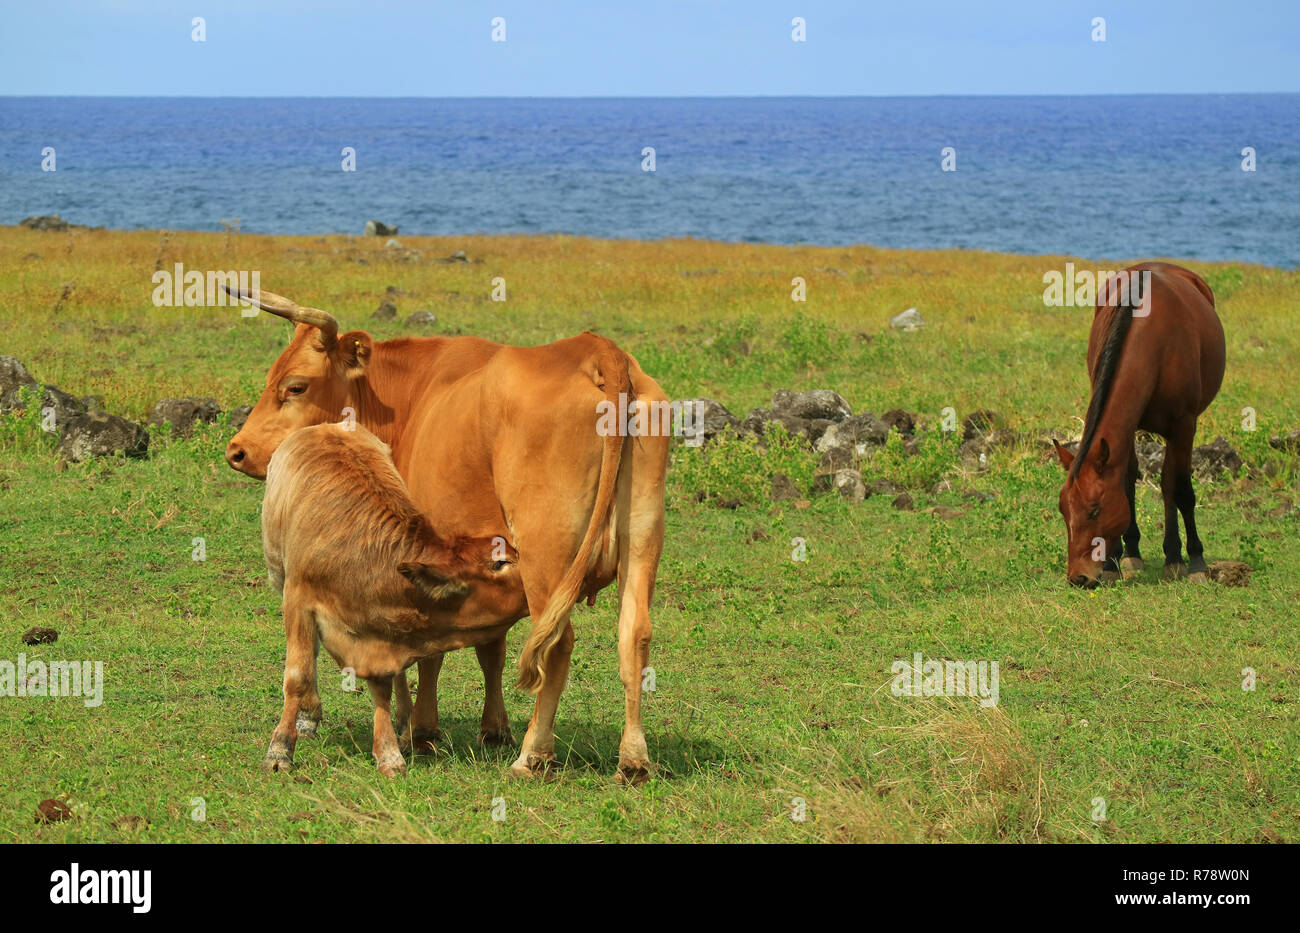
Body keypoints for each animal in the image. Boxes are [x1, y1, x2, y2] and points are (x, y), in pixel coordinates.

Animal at [261, 422, 522, 775]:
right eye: (499, 563)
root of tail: (327, 426)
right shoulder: (297, 601)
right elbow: (298, 676)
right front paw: (280, 748)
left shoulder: (382, 629)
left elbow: (384, 683)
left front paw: (388, 750)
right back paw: (309, 715)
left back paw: (404, 717)